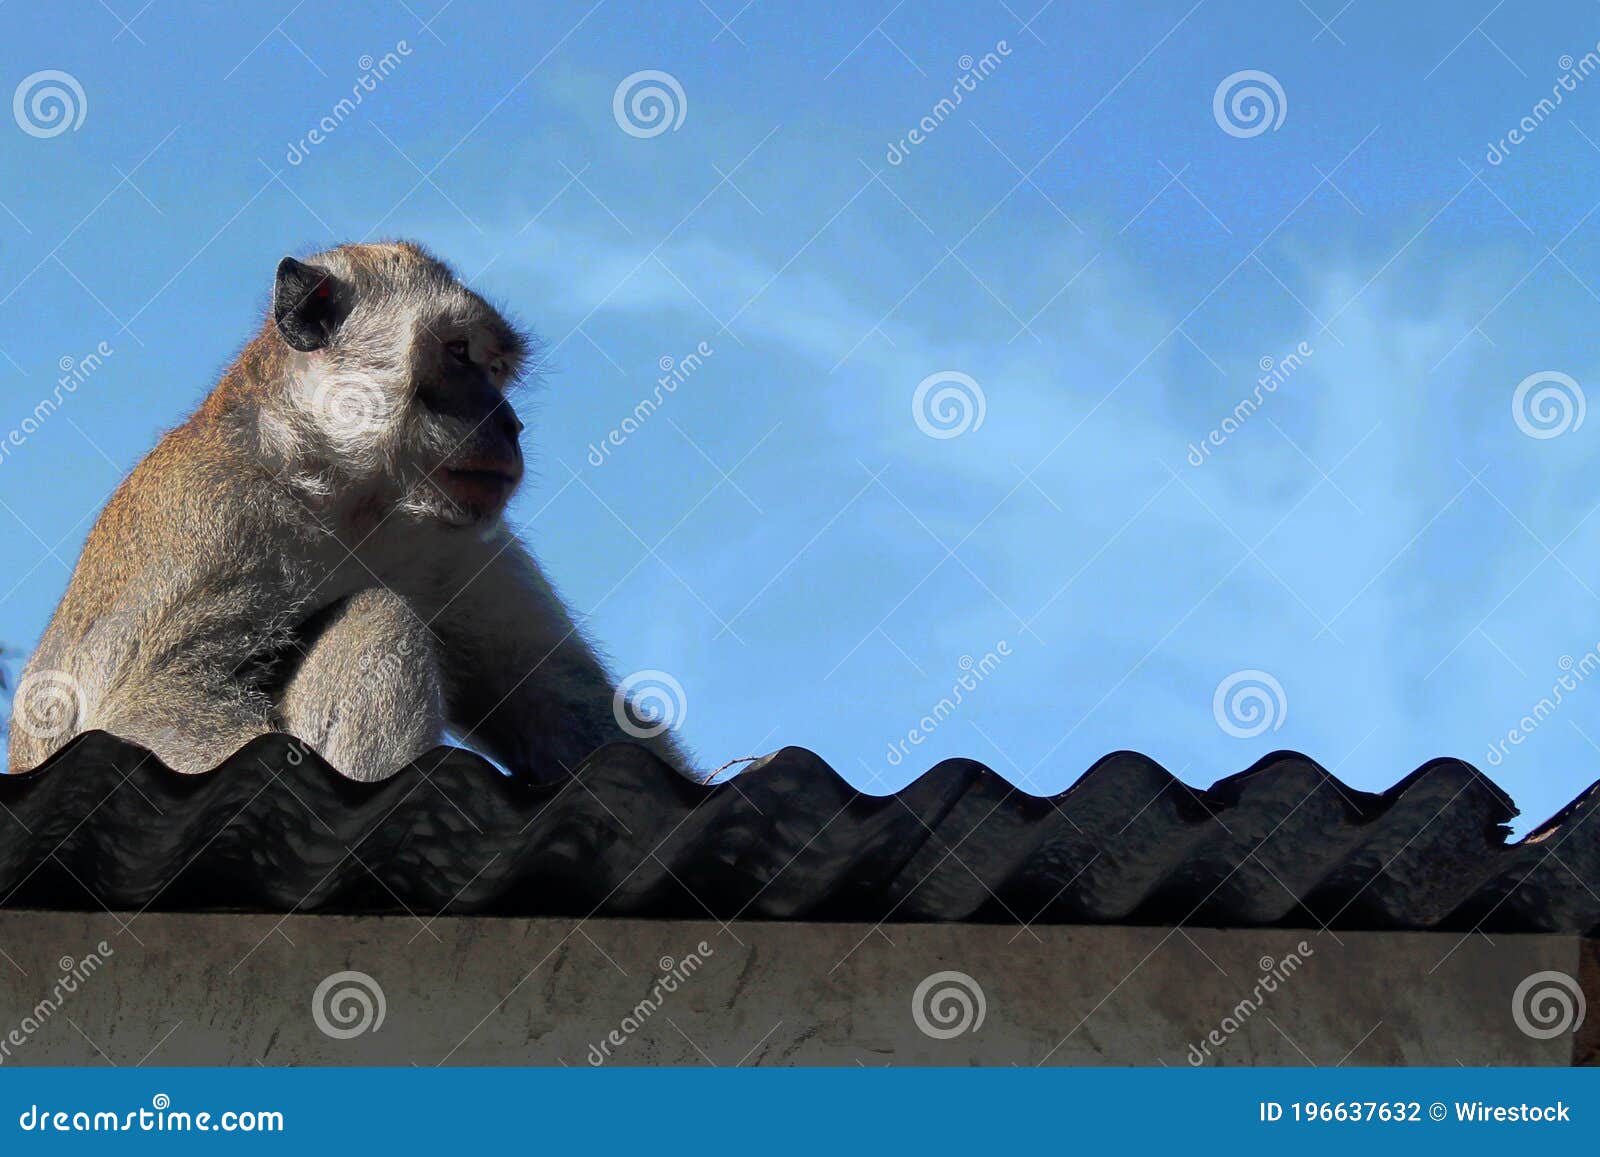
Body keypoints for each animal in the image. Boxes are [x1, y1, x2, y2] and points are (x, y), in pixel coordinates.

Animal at [6, 241, 689, 783]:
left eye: (494, 367)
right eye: (458, 352)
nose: (509, 423)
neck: (346, 498)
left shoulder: (459, 546)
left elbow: (562, 699)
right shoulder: (216, 515)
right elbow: (145, 706)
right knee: (378, 617)